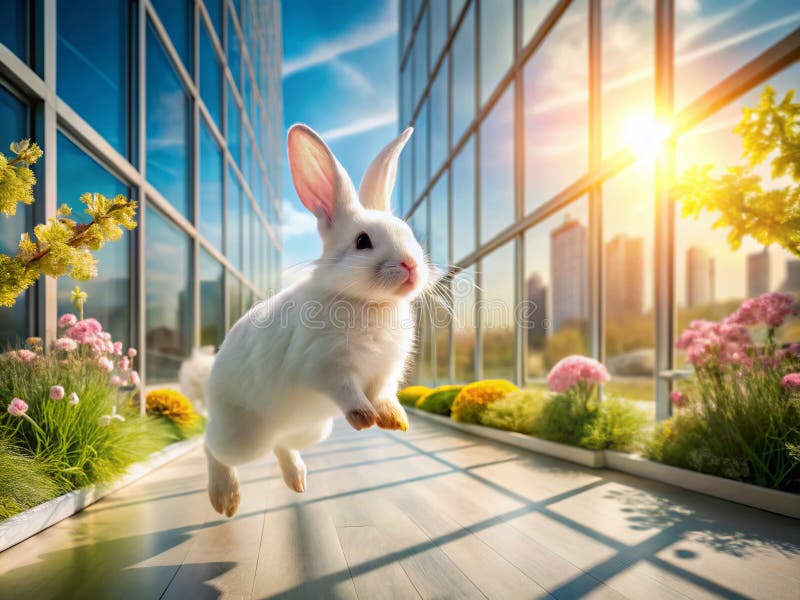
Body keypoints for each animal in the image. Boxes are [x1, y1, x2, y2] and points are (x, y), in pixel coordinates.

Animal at [204, 124, 429, 517]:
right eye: (363, 241)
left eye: (409, 234)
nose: (411, 265)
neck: (369, 303)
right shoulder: (325, 366)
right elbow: (347, 391)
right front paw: (364, 418)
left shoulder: (385, 373)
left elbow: (384, 394)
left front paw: (393, 419)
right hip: (242, 438)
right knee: (211, 446)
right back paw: (225, 498)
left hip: (311, 430)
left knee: (282, 445)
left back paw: (297, 480)